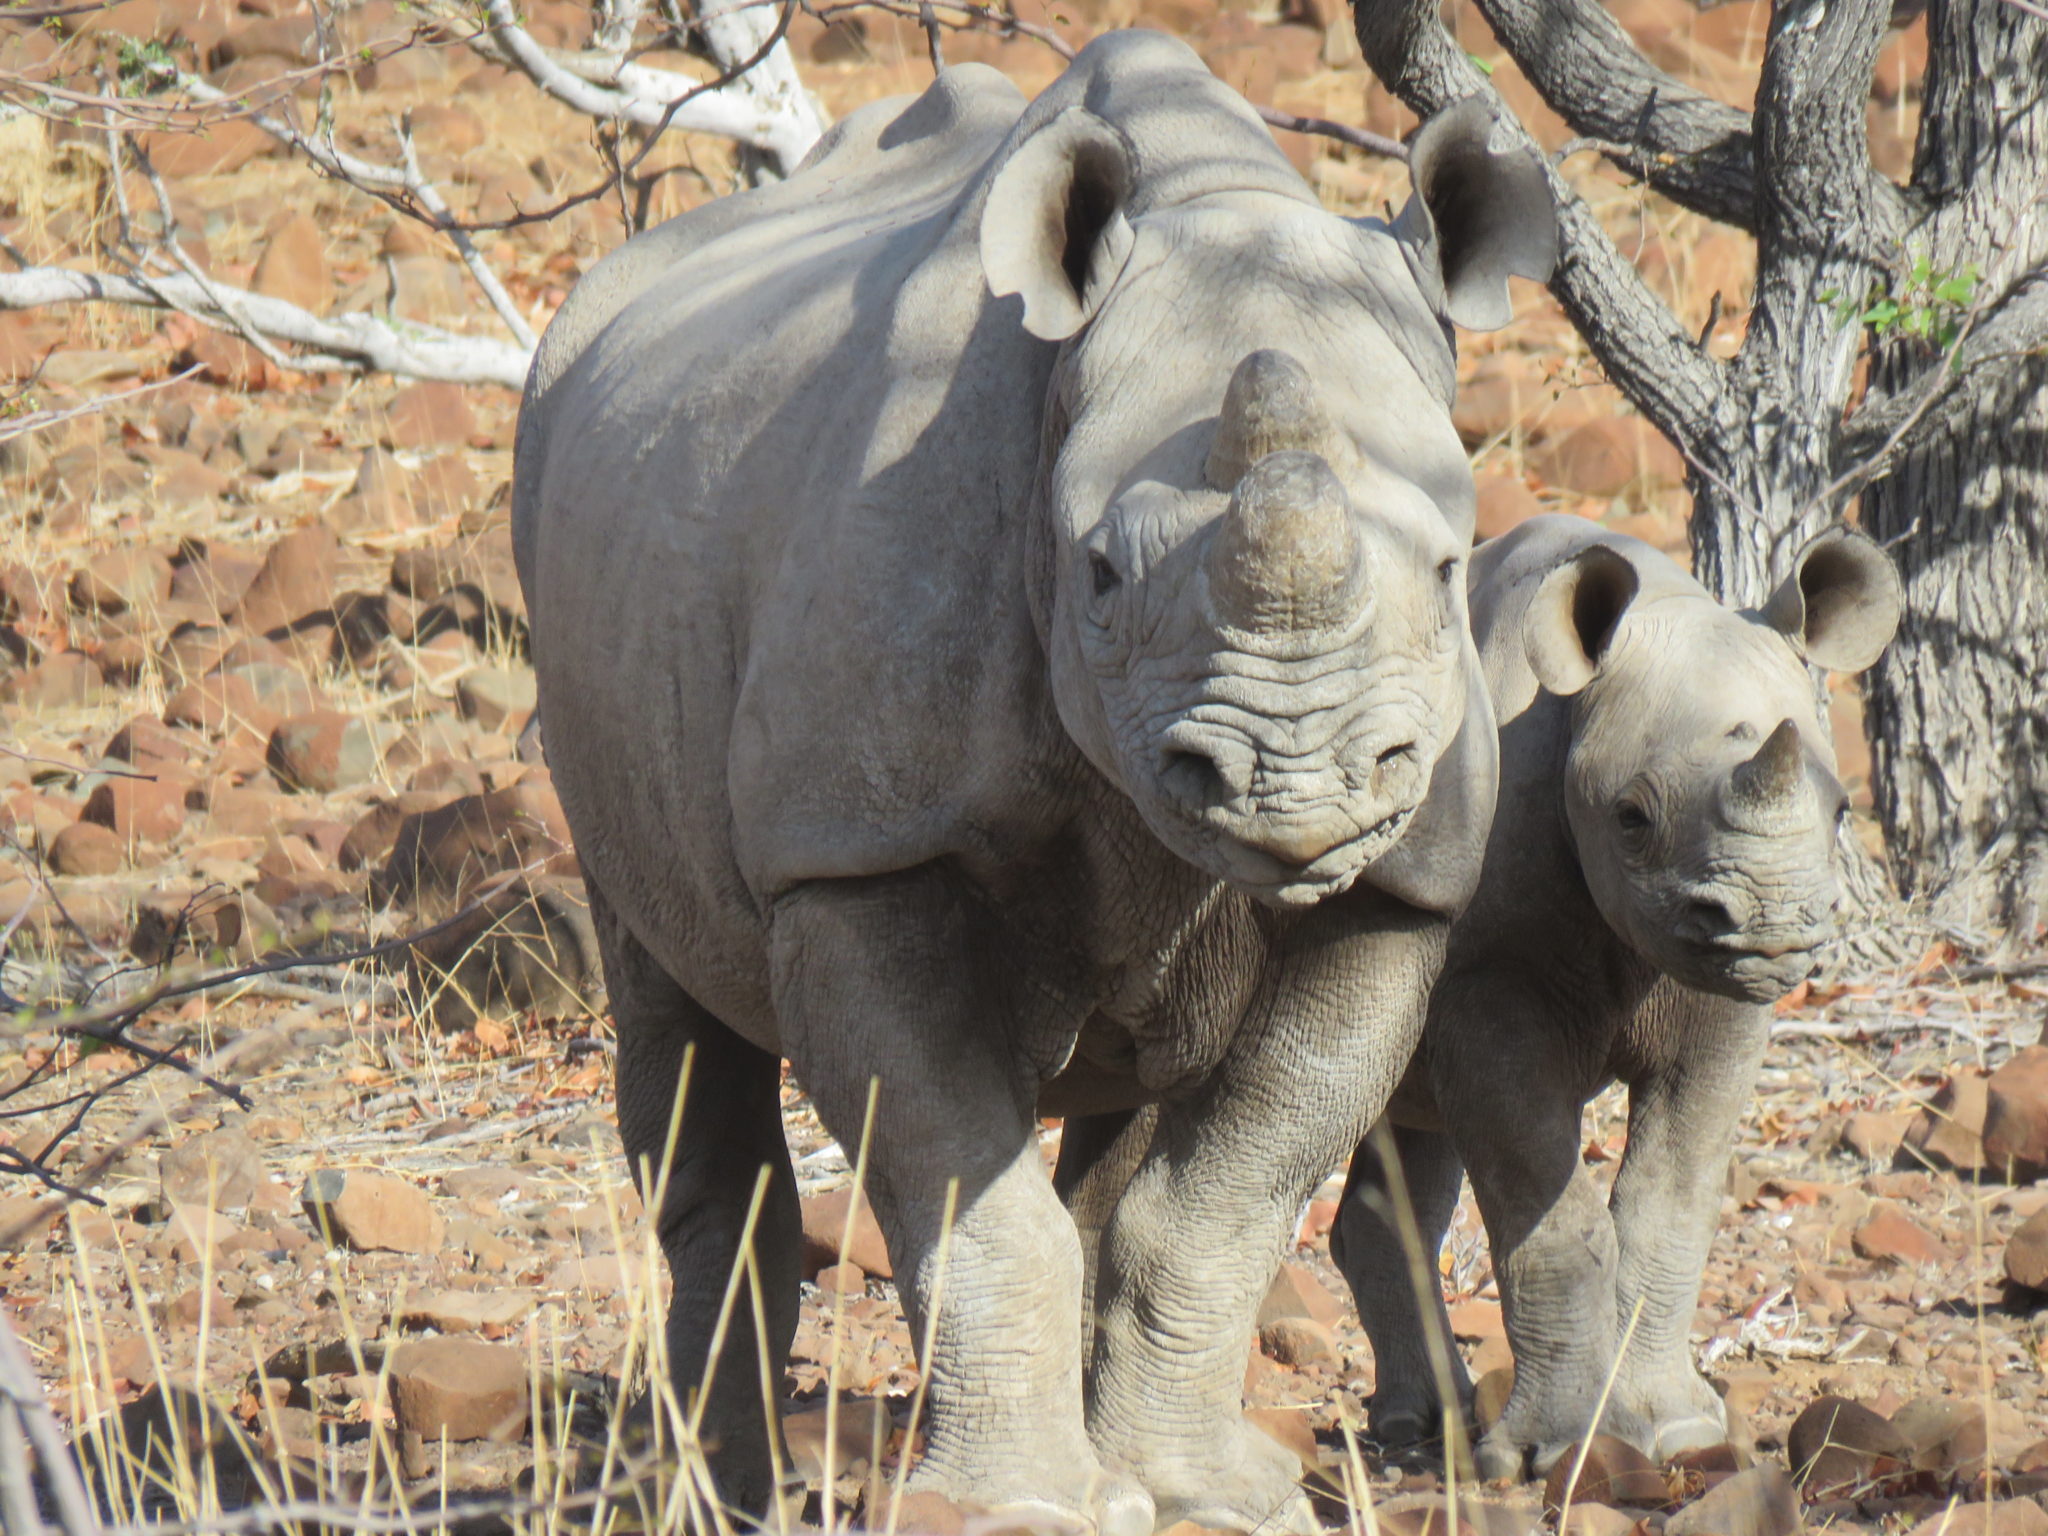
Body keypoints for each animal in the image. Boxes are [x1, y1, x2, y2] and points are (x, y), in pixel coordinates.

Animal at [513, 33, 1556, 1532]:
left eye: (1449, 568)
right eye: (1101, 574)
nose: (1293, 788)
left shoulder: (1401, 887)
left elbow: (1222, 1201)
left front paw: (1205, 1497)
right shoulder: (856, 852)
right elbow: (965, 1195)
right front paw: (1021, 1511)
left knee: (1118, 1139)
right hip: (569, 519)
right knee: (666, 988)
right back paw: (717, 1498)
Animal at [1331, 514, 1902, 1478]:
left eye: (1840, 815)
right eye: (1631, 819)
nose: (1770, 919)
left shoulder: (1723, 1000)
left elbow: (1670, 1202)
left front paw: (1675, 1433)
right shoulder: (1488, 991)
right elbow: (1547, 1213)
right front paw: (1550, 1456)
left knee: (1406, 1134)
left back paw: (1423, 1433)